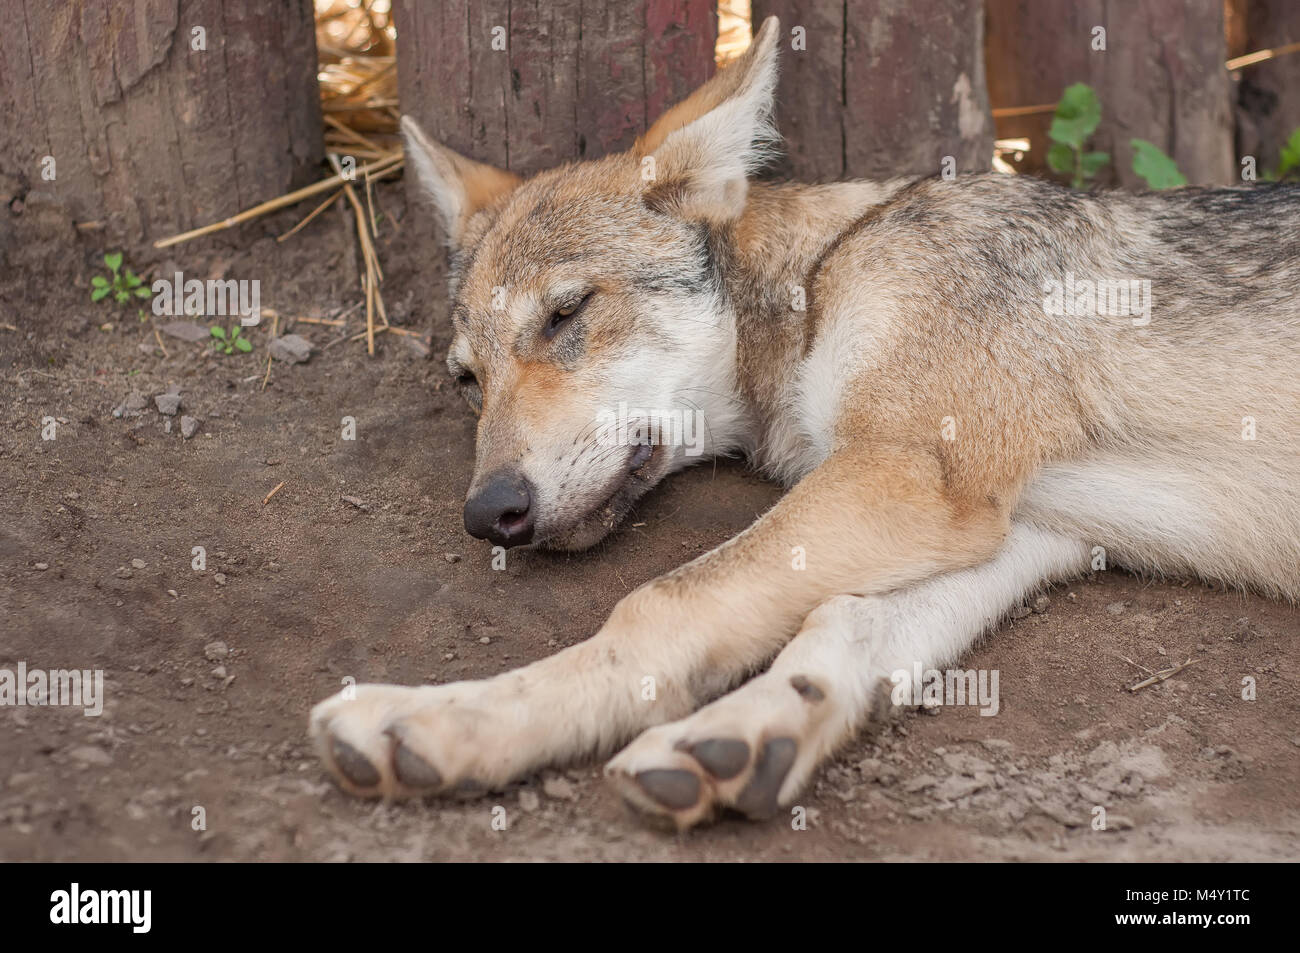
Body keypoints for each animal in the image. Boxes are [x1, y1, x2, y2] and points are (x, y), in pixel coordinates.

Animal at [310, 17, 1300, 829]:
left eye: (565, 314)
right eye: (467, 380)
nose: (488, 514)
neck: (827, 265)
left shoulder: (907, 480)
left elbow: (659, 603)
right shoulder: (1018, 527)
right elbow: (837, 629)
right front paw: (454, 723)